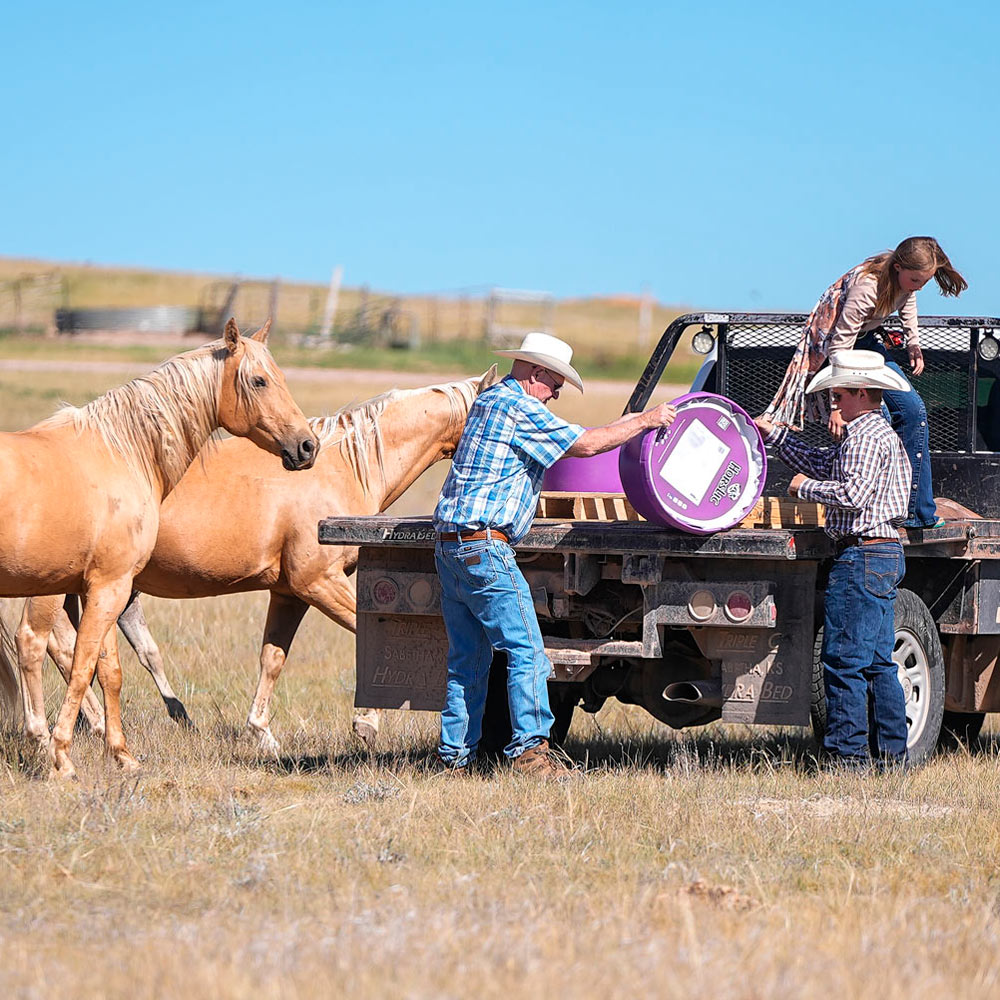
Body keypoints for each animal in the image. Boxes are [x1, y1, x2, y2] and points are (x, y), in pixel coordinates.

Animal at [0, 318, 318, 777]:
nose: (308, 446)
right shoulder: (107, 587)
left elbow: (109, 670)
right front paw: (61, 756)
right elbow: (80, 665)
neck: (121, 454)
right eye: (259, 380)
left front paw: (122, 755)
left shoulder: (100, 589)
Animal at [20, 365, 499, 755]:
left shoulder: (290, 594)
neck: (345, 466)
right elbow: (364, 639)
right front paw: (366, 722)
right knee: (55, 644)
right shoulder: (319, 583)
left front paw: (262, 732)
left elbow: (272, 658)